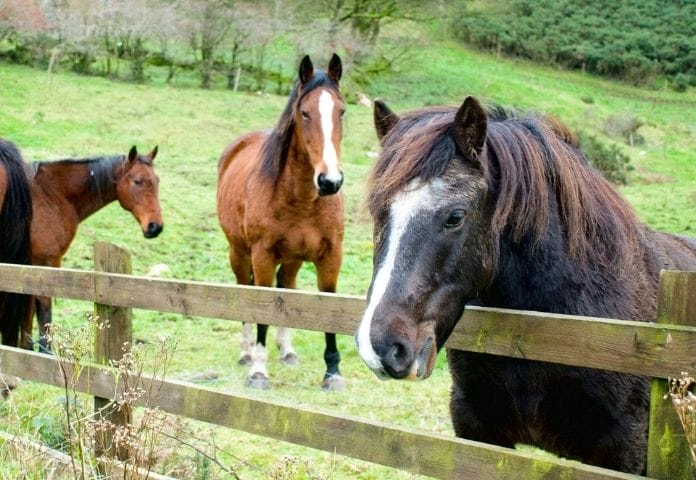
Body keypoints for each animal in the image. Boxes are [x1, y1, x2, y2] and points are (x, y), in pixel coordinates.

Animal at [27, 146, 163, 350]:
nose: (156, 226)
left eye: (157, 181)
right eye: (137, 181)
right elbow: (43, 314)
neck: (51, 194)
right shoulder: (44, 264)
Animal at [217, 54, 345, 390]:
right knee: (245, 290)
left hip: (292, 260)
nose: (330, 181)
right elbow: (263, 307)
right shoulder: (262, 256)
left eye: (341, 111)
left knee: (286, 288)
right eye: (304, 112)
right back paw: (247, 352)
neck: (302, 199)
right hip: (239, 254)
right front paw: (258, 369)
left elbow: (326, 307)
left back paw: (287, 350)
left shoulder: (331, 257)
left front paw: (333, 371)